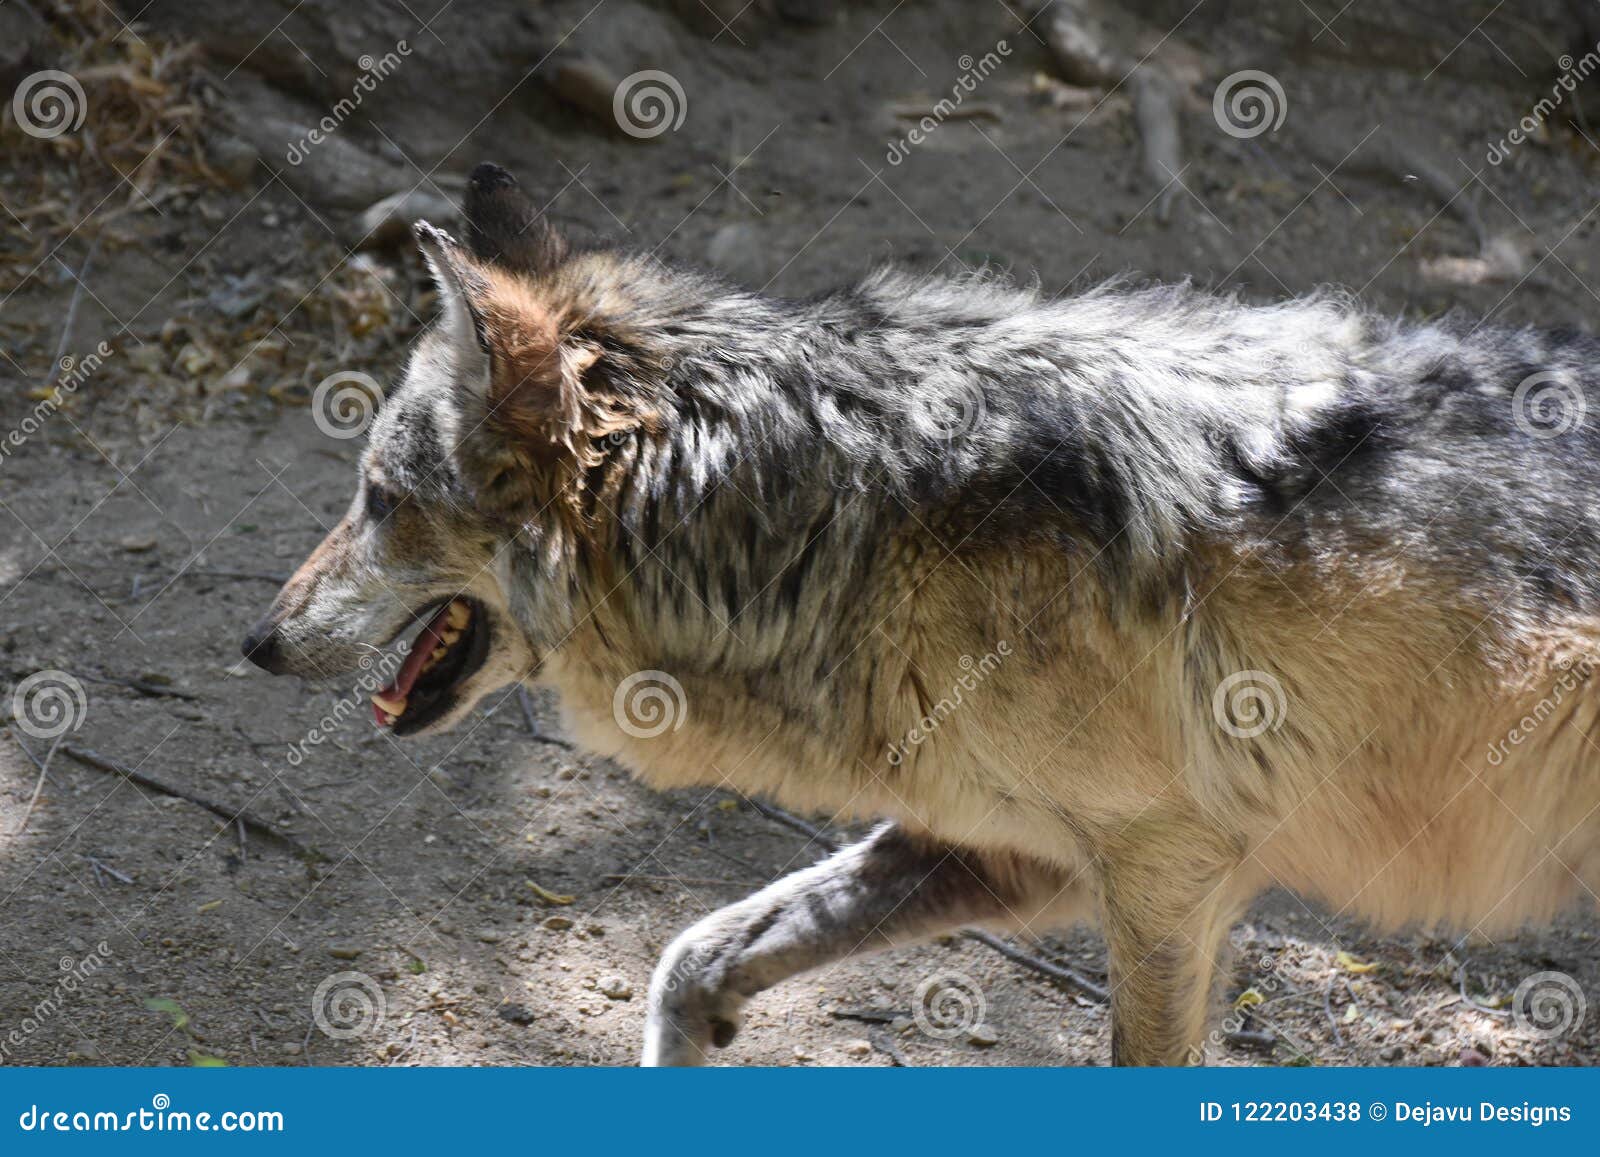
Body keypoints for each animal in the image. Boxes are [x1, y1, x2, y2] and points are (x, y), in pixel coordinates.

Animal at [242, 162, 1600, 1066]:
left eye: (377, 498)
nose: (256, 641)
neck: (846, 518)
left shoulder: (1169, 874)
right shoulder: (1010, 851)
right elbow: (692, 955)